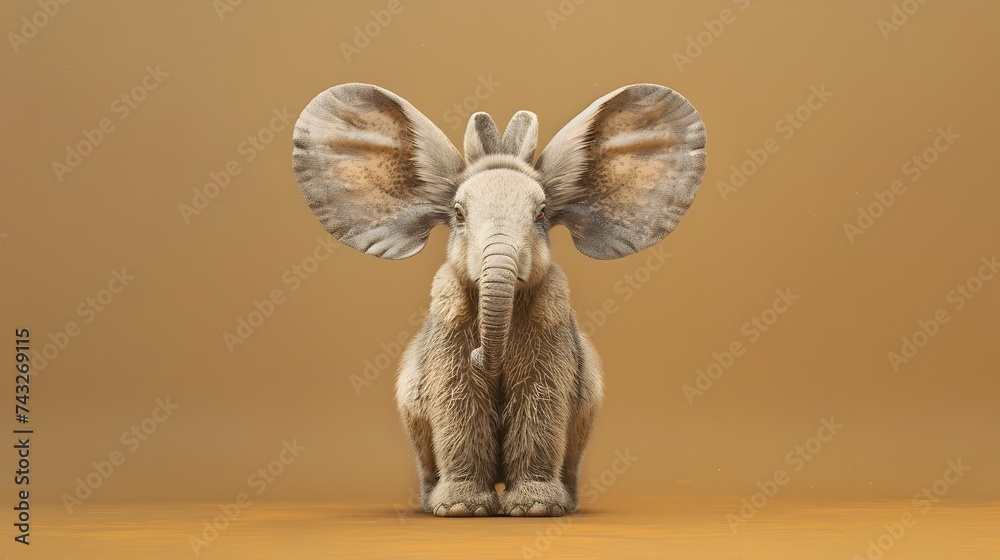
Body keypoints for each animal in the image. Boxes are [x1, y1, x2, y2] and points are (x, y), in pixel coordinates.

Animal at [291, 83, 706, 517]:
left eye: (541, 214)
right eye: (458, 214)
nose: (482, 355)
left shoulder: (551, 334)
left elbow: (540, 403)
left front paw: (535, 509)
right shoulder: (448, 335)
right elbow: (457, 405)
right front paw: (462, 510)